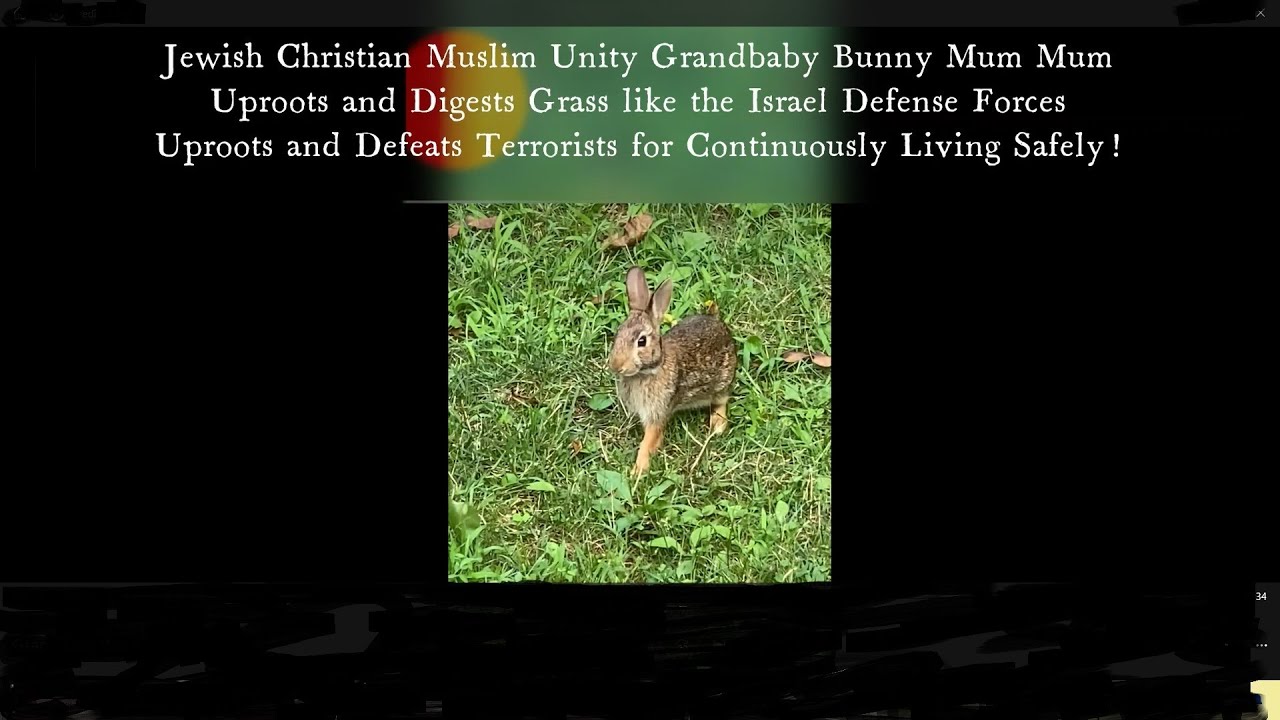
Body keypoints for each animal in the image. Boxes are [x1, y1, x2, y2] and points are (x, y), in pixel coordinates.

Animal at [608, 266, 737, 477]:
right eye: (617, 334)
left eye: (641, 341)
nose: (616, 365)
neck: (649, 370)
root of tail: (720, 325)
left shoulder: (658, 413)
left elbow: (648, 441)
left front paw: (638, 471)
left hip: (721, 382)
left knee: (721, 402)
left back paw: (717, 426)